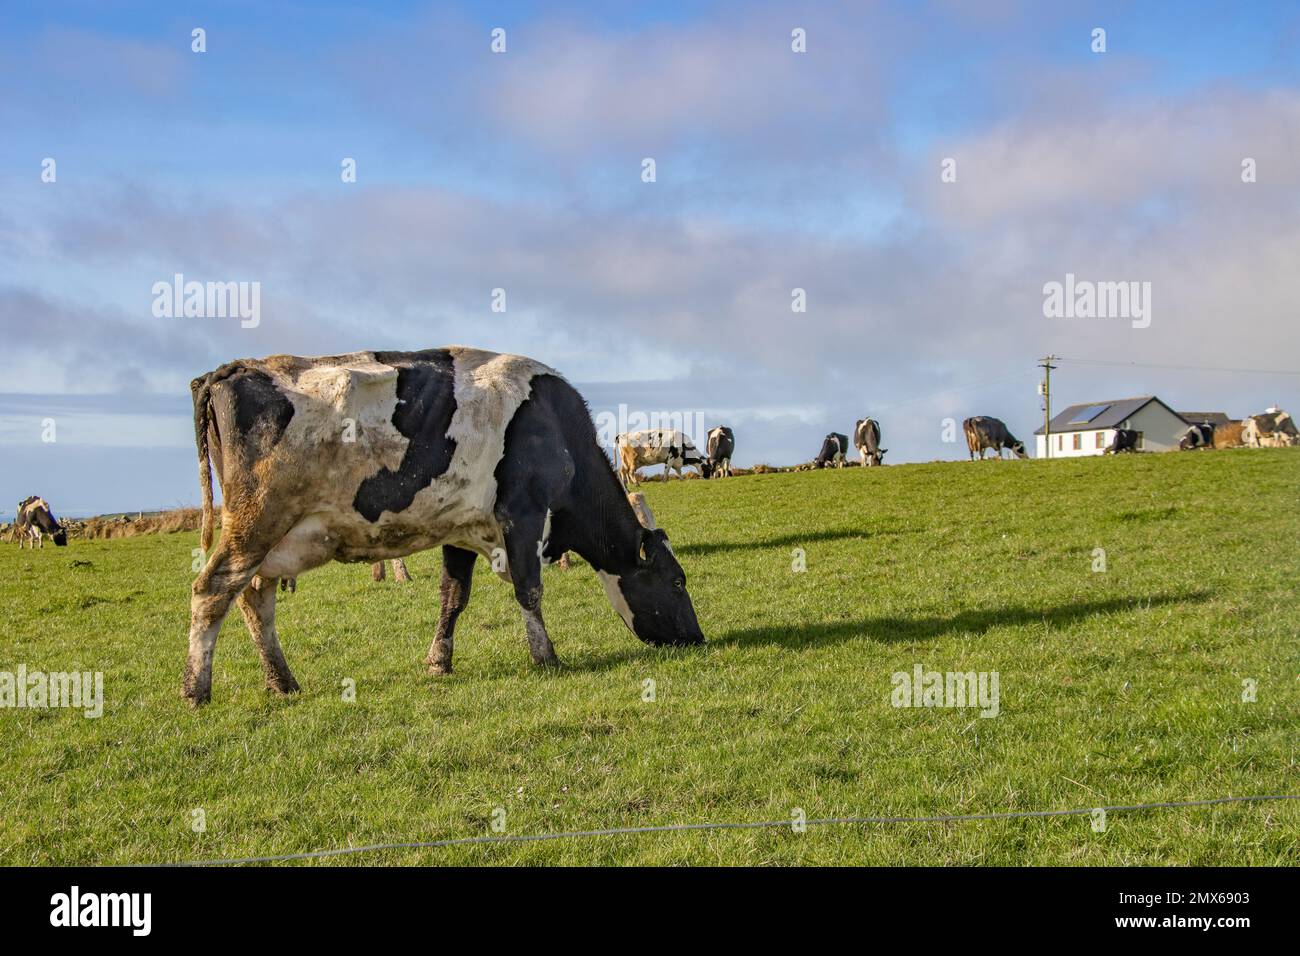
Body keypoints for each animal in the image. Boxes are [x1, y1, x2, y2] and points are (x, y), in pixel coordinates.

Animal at [184, 347, 704, 706]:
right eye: (678, 582)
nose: (697, 639)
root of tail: (231, 369)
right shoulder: (523, 513)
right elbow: (529, 589)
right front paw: (546, 656)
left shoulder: (461, 528)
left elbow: (453, 597)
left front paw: (439, 661)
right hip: (256, 522)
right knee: (212, 589)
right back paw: (196, 690)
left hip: (272, 539)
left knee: (255, 597)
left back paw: (282, 681)